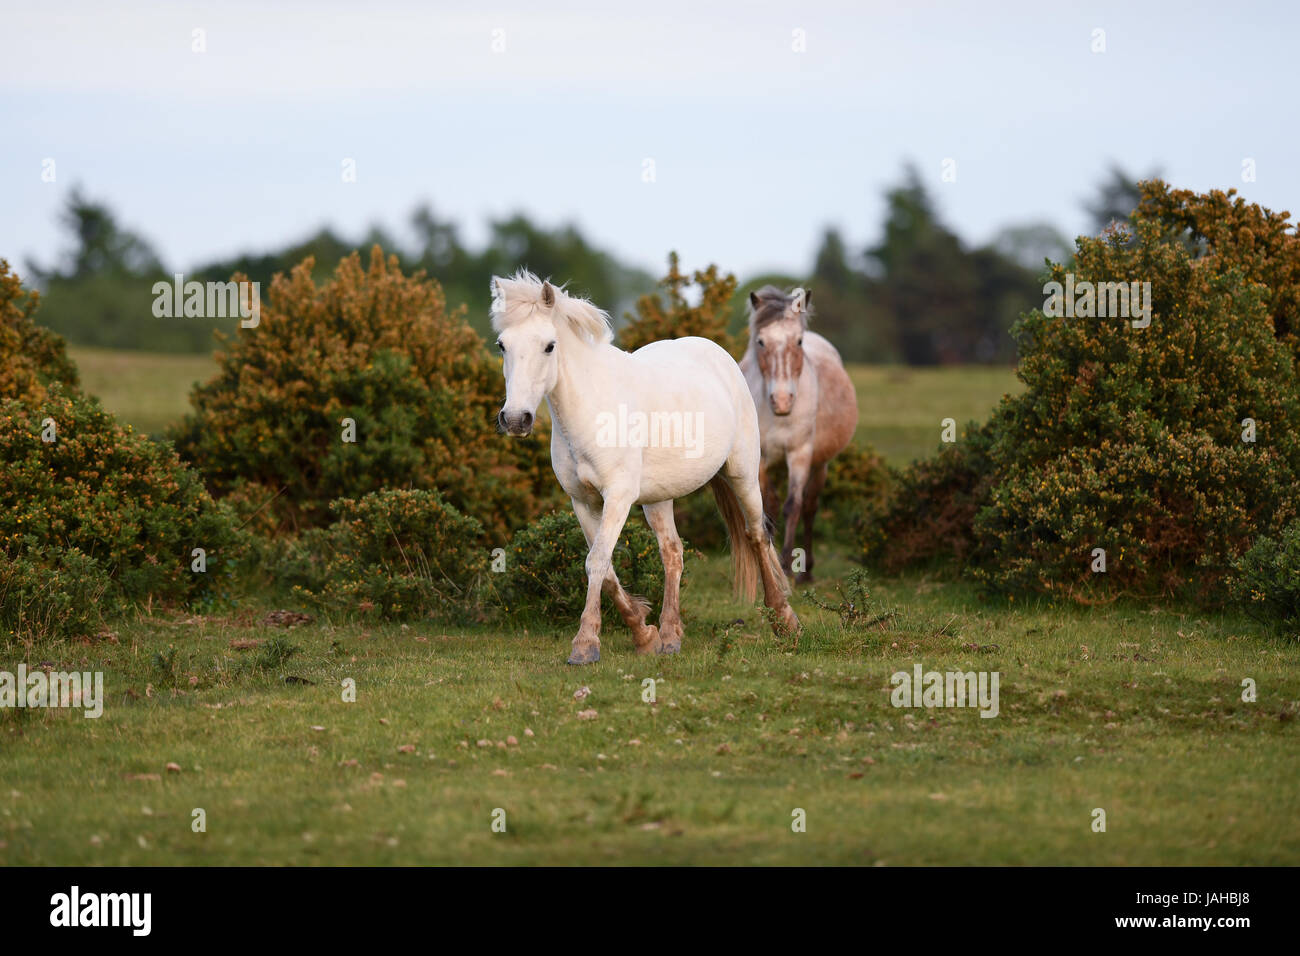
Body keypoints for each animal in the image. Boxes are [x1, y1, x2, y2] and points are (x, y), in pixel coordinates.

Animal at [491, 271, 800, 665]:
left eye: (549, 346)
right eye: (502, 345)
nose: (516, 419)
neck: (593, 408)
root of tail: (719, 355)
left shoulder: (618, 497)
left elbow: (596, 561)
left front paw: (585, 645)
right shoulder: (583, 502)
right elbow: (605, 568)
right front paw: (643, 634)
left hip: (742, 473)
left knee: (757, 535)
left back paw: (784, 621)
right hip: (659, 498)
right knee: (673, 553)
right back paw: (669, 636)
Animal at [739, 286, 859, 583]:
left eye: (799, 341)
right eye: (760, 341)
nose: (782, 401)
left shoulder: (800, 454)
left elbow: (792, 505)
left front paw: (785, 564)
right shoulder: (761, 458)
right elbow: (768, 504)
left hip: (820, 464)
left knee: (810, 506)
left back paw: (807, 571)